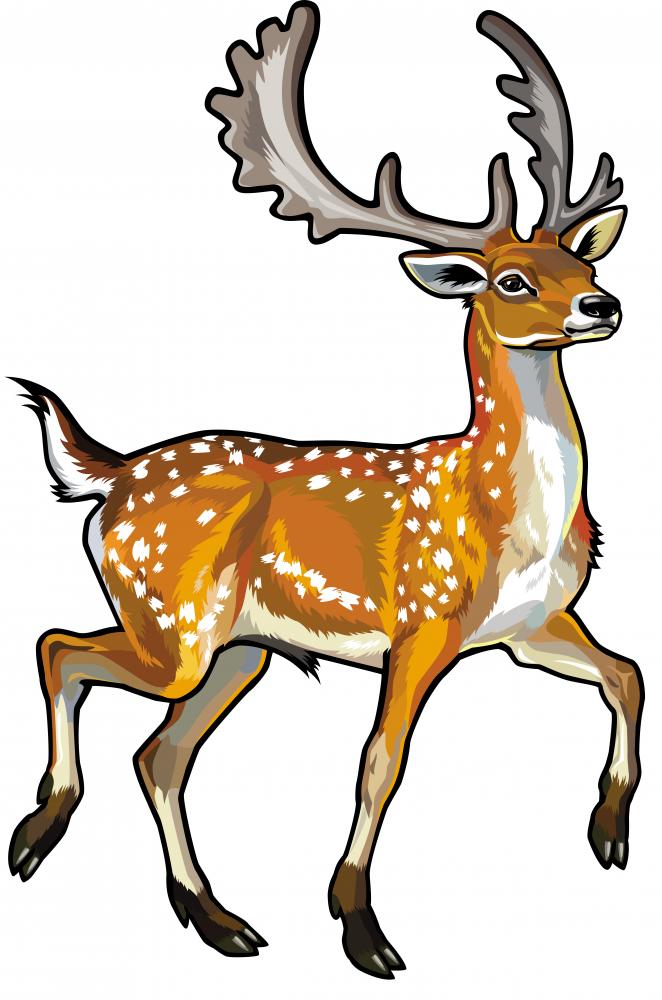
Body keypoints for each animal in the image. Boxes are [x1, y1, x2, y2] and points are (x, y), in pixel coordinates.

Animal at [8, 2, 642, 980]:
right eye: (512, 279)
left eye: (582, 262)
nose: (603, 306)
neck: (504, 516)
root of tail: (111, 473)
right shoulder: (422, 624)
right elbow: (381, 762)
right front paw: (360, 928)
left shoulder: (532, 626)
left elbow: (627, 674)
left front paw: (608, 830)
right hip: (173, 625)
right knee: (57, 647)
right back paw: (39, 830)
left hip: (240, 650)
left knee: (159, 753)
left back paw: (216, 919)